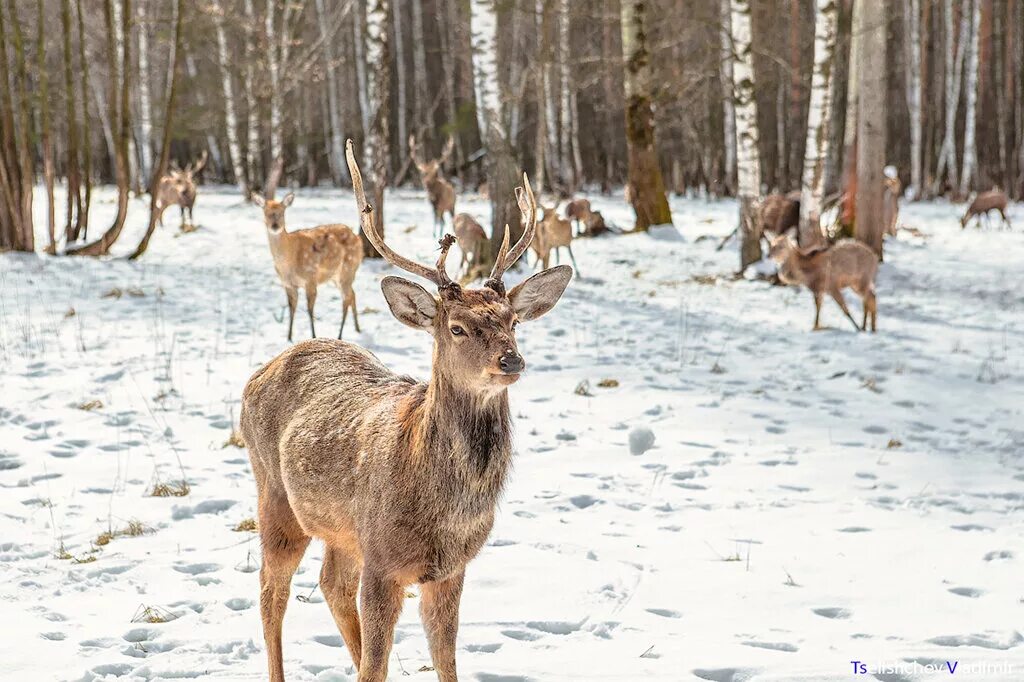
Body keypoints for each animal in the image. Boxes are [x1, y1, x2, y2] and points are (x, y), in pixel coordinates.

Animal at [250, 189, 364, 339]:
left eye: (281, 212)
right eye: (266, 213)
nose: (275, 226)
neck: (289, 261)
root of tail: (358, 238)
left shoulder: (310, 278)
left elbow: (310, 309)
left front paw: (314, 335)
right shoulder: (288, 284)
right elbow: (292, 307)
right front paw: (289, 337)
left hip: (348, 268)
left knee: (346, 298)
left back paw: (340, 335)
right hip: (336, 276)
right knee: (353, 294)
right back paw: (357, 328)